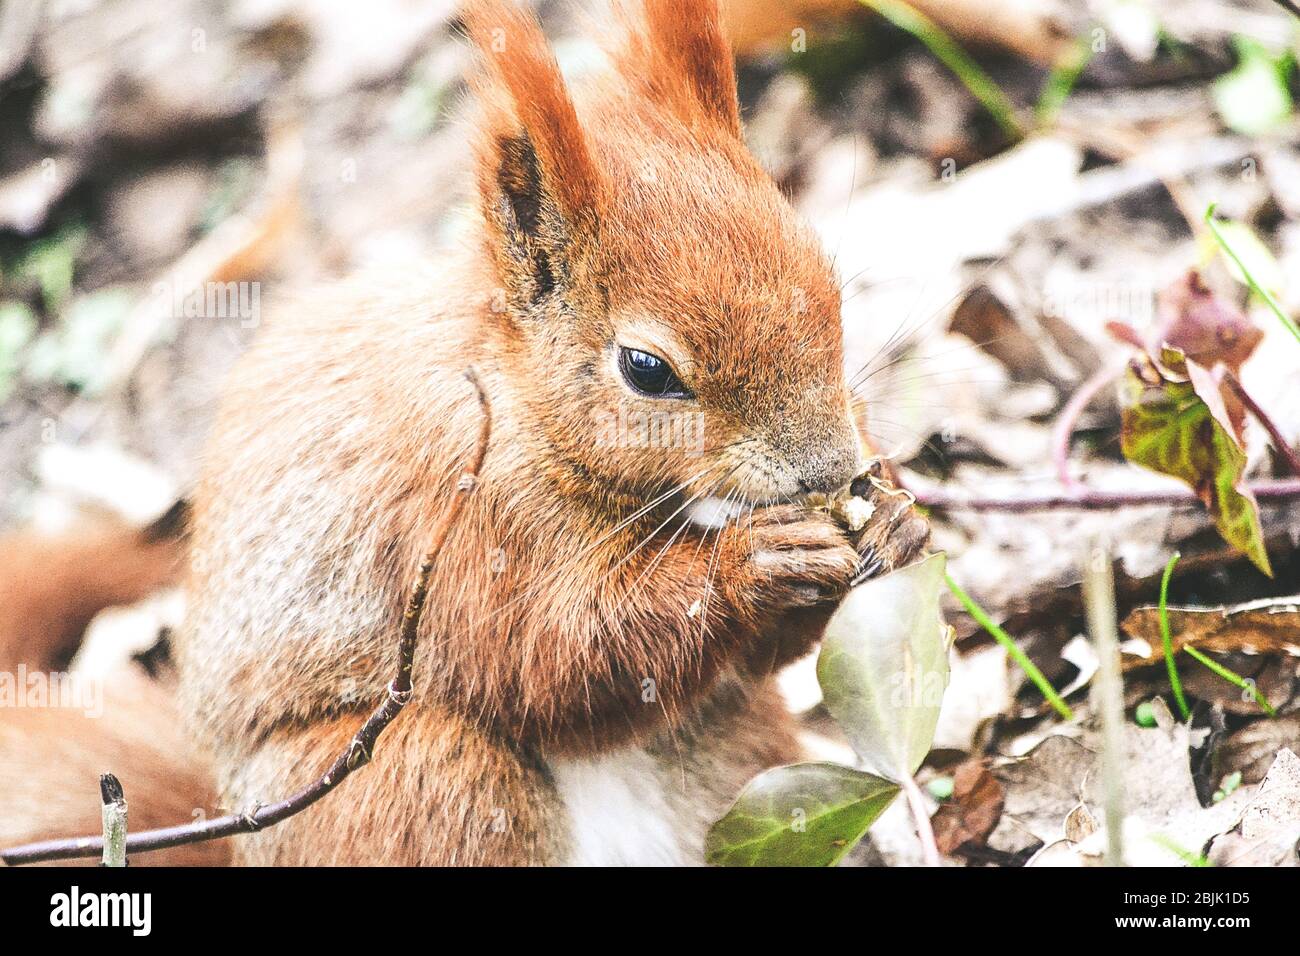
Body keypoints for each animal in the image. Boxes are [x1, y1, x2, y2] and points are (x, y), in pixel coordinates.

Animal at [173, 0, 930, 866]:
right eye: (645, 369)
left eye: (828, 281)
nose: (832, 466)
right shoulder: (454, 516)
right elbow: (544, 662)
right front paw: (748, 561)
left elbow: (752, 660)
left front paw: (900, 519)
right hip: (417, 779)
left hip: (738, 748)